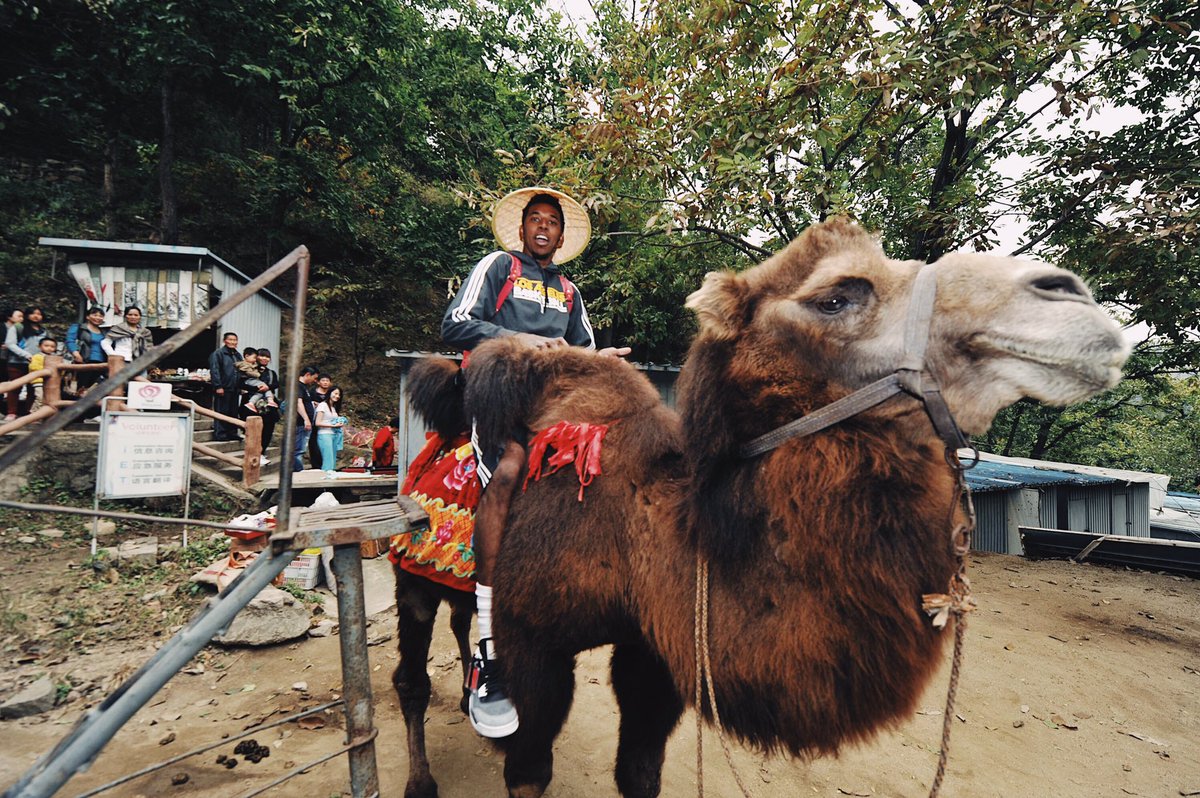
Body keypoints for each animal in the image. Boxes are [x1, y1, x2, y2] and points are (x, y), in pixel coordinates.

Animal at [390, 219, 1129, 798]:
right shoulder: (533, 638)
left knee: (459, 623)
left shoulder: (654, 649)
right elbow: (528, 769)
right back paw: (425, 773)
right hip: (411, 566)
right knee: (411, 673)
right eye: (836, 296)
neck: (634, 526)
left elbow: (640, 772)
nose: (1071, 295)